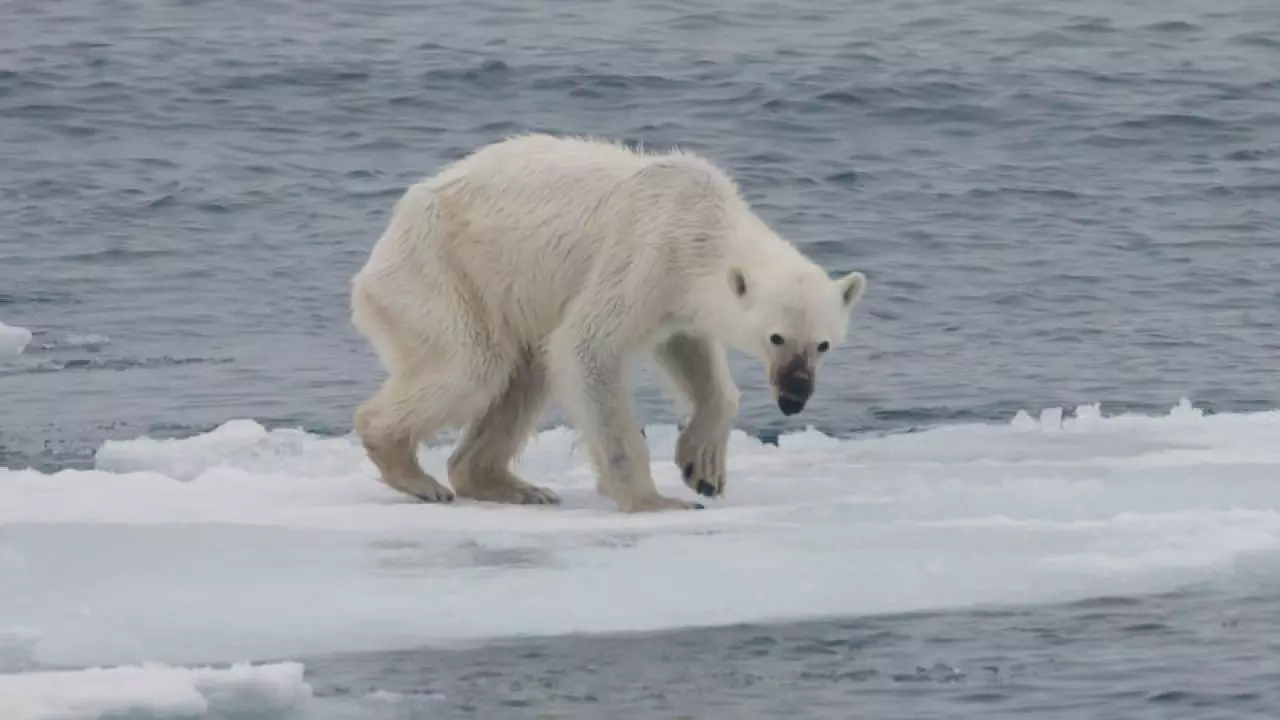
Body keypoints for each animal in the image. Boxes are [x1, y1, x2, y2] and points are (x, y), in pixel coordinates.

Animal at [350, 133, 870, 509]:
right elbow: (587, 350)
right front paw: (655, 500)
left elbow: (692, 355)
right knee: (473, 365)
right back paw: (414, 472)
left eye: (823, 344)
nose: (794, 397)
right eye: (776, 337)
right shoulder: (644, 255)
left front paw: (702, 469)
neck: (701, 224)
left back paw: (511, 485)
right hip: (441, 274)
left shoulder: (675, 298)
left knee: (526, 373)